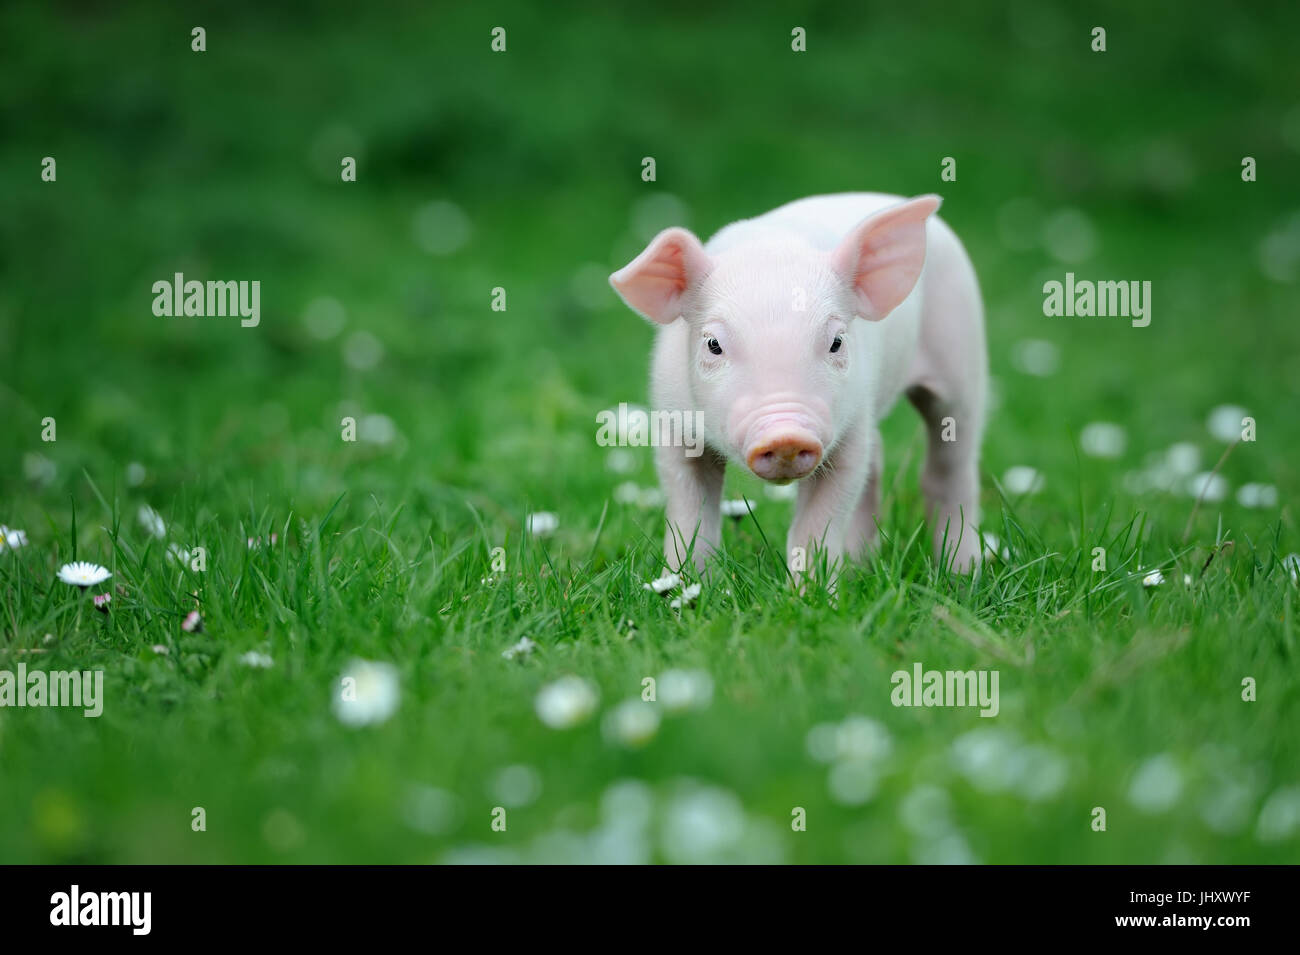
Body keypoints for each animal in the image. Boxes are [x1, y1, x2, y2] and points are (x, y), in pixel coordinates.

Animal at [609, 193, 988, 583]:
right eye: (713, 344)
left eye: (836, 342)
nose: (785, 436)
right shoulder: (674, 423)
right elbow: (688, 513)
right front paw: (683, 585)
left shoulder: (851, 427)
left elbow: (818, 522)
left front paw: (813, 593)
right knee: (879, 457)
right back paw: (860, 566)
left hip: (963, 354)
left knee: (950, 468)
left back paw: (962, 577)